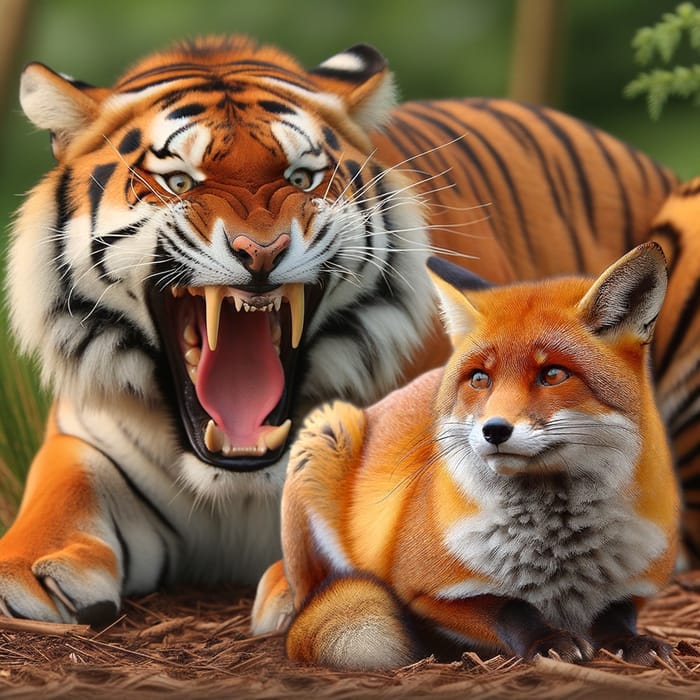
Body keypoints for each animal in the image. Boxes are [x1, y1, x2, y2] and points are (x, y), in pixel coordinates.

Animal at [0, 35, 695, 625]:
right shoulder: (84, 438)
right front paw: (32, 572)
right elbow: (58, 498)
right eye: (177, 182)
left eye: (301, 178)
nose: (260, 251)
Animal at [251, 242, 680, 670]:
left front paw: (633, 642)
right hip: (324, 433)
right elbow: (509, 607)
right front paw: (547, 640)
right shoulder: (423, 593)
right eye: (479, 379)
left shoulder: (636, 587)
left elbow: (616, 613)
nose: (494, 430)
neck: (558, 556)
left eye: (553, 374)